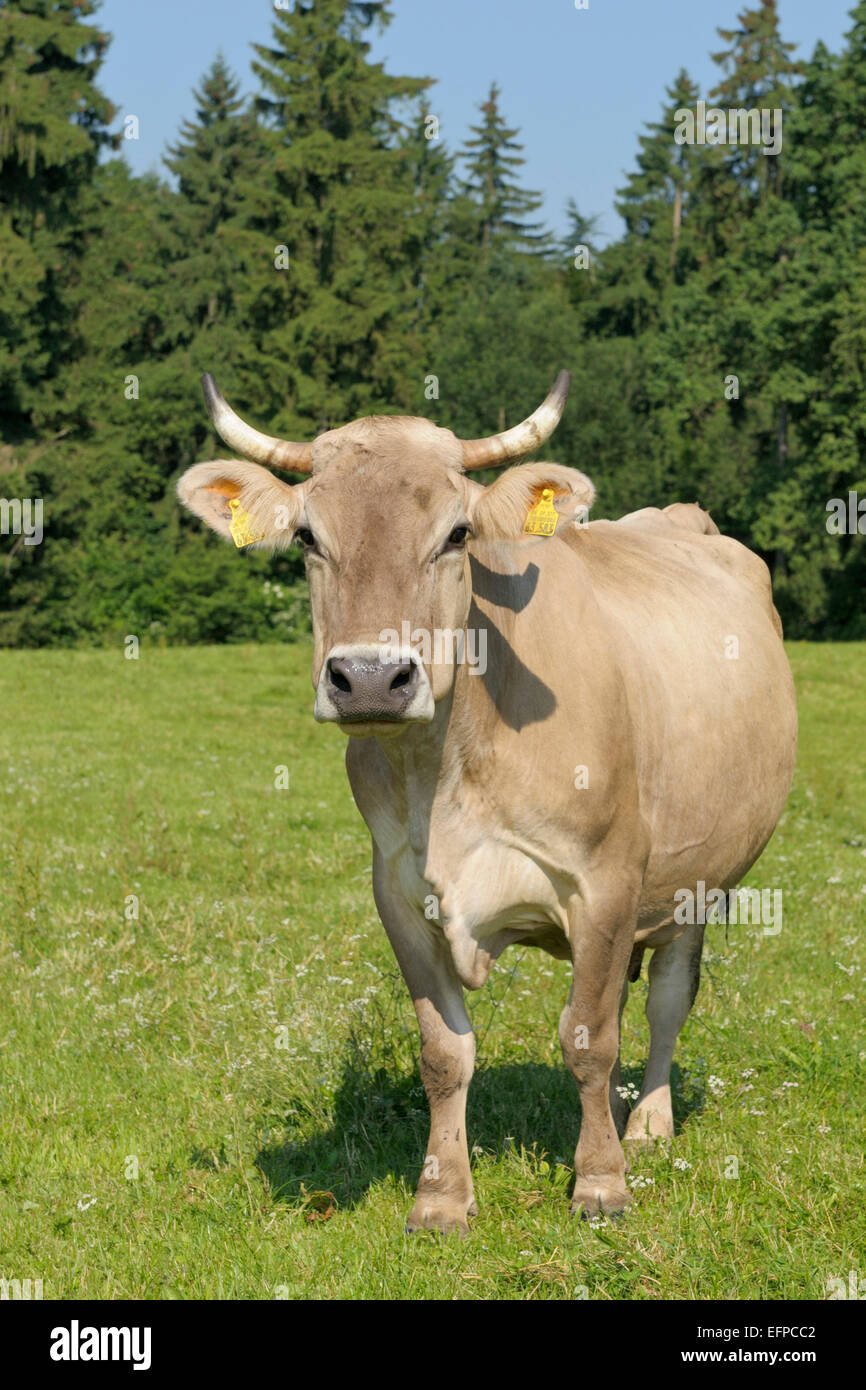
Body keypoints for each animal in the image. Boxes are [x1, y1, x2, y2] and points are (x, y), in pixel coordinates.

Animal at [178, 370, 797, 1233]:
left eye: (457, 533)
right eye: (305, 538)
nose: (369, 678)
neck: (449, 773)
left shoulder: (606, 880)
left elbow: (589, 1038)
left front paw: (600, 1183)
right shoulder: (399, 892)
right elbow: (445, 1052)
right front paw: (441, 1194)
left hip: (695, 883)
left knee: (667, 1002)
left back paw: (648, 1122)